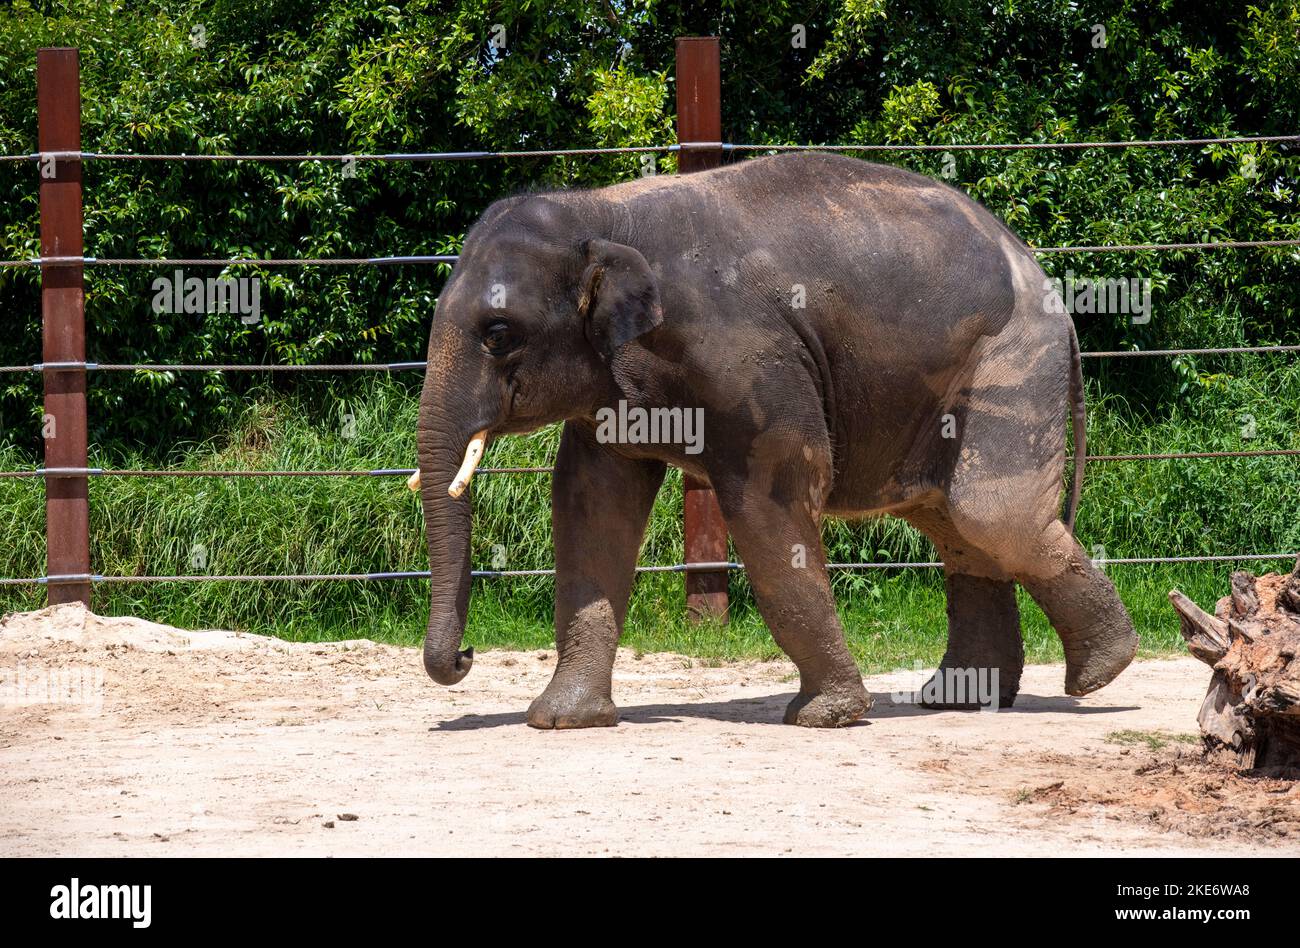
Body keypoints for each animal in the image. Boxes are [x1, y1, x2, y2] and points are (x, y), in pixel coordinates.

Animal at [413, 151, 1138, 729]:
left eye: (498, 334)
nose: (467, 656)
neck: (600, 210)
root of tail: (1044, 277)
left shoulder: (747, 351)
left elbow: (772, 497)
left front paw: (825, 717)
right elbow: (591, 507)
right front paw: (562, 721)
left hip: (1011, 359)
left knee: (989, 513)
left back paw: (1100, 672)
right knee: (953, 521)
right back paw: (964, 700)